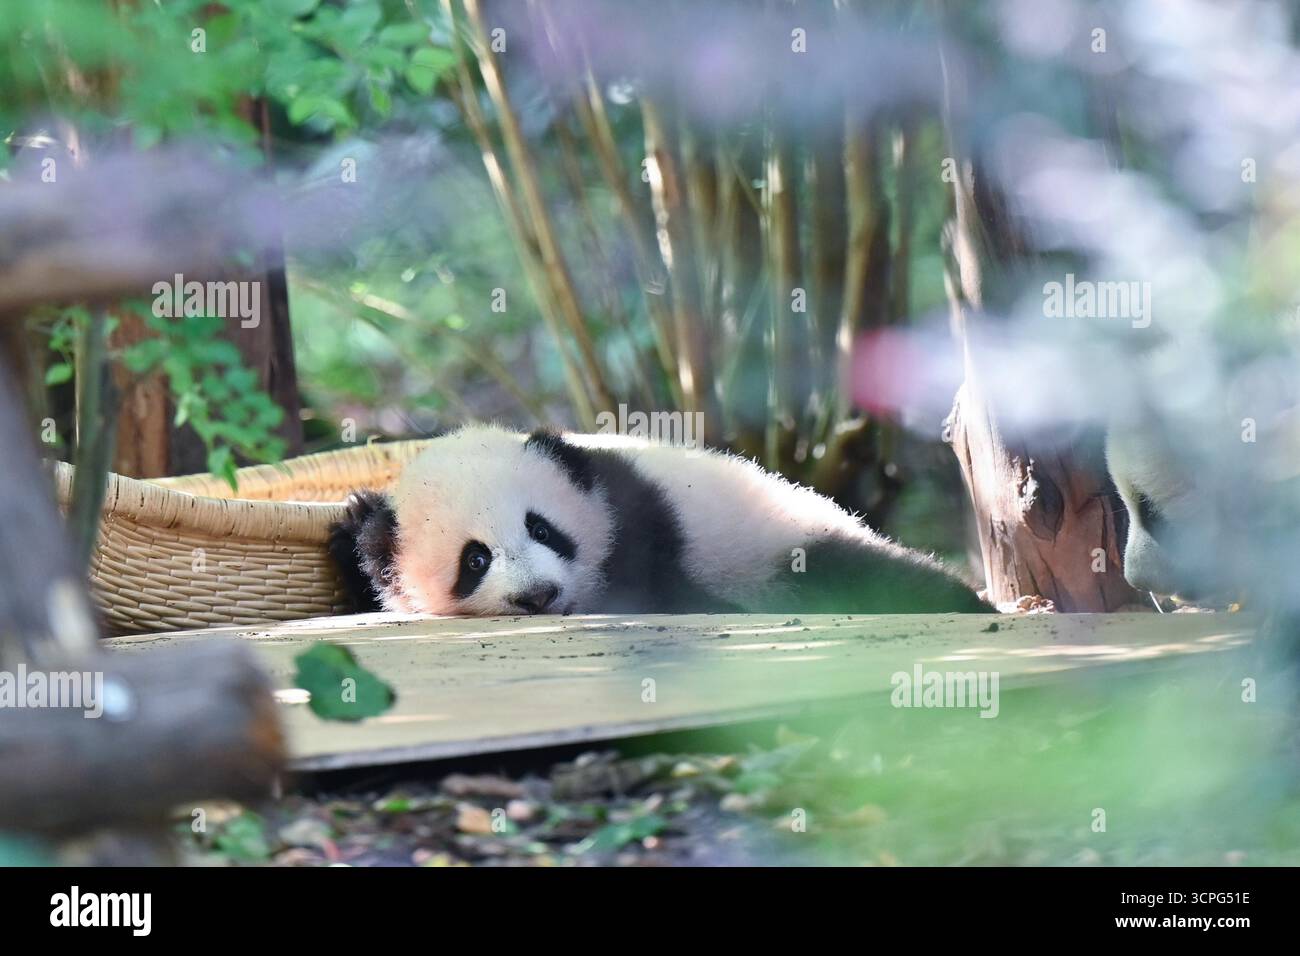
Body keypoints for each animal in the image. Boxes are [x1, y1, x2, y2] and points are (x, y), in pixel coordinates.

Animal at [328, 424, 989, 617]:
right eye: (476, 559)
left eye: (542, 528)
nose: (539, 596)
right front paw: (354, 526)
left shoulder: (636, 513)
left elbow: (663, 586)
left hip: (788, 544)